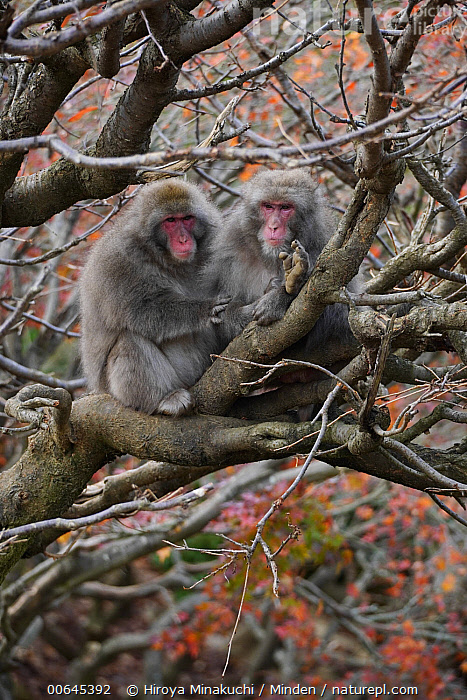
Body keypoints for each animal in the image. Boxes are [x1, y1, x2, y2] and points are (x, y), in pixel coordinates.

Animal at [79, 179, 229, 416]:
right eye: (170, 221)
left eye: (187, 218)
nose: (183, 239)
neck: (165, 257)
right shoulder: (117, 262)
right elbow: (141, 311)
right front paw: (203, 309)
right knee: (128, 340)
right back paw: (164, 399)